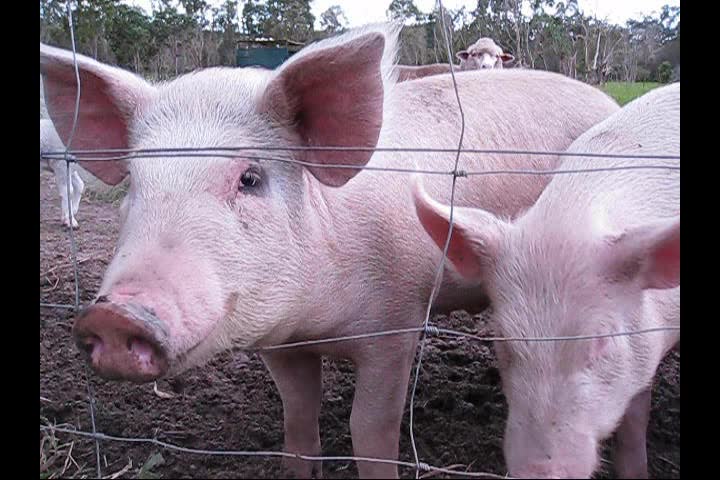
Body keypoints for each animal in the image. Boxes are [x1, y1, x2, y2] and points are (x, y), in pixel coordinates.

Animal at [40, 23, 619, 478]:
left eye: (250, 178)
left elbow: (370, 427)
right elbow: (298, 419)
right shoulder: (278, 342)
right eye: (135, 183)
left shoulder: (397, 322)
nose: (114, 315)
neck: (316, 320)